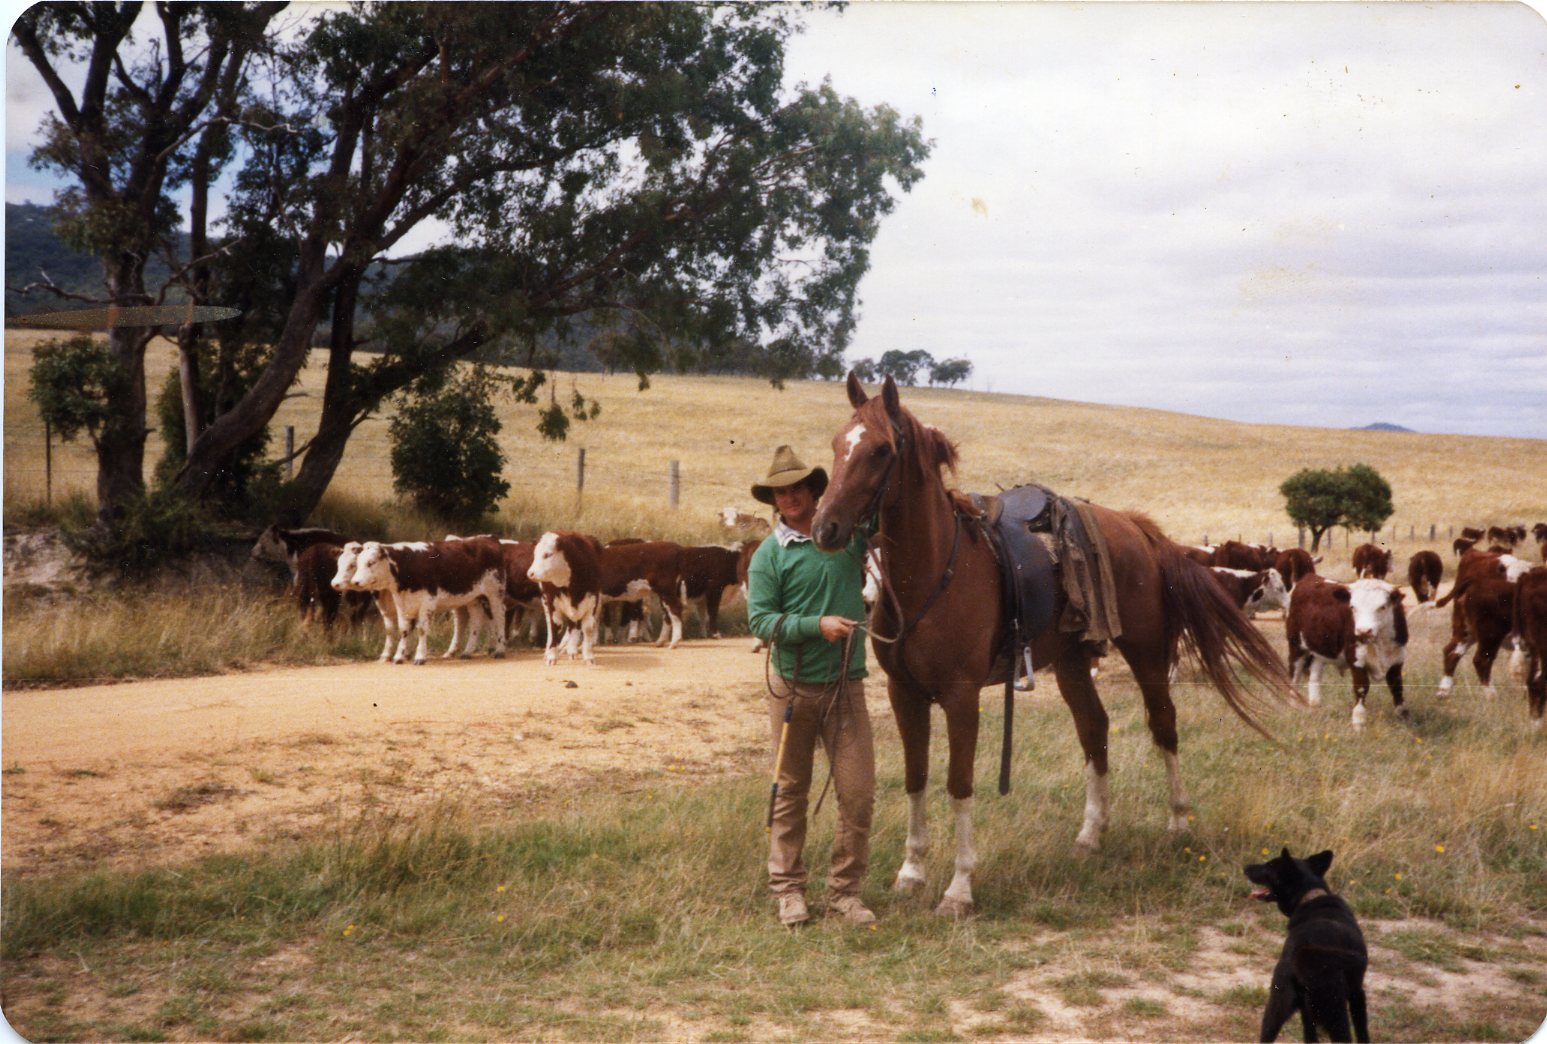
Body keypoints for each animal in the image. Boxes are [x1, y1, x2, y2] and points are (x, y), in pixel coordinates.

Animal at [339, 538, 507, 665]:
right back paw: (467, 652)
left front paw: (419, 657)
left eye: (371, 562)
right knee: (475, 622)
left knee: (499, 618)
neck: (408, 565)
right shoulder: (401, 604)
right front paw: (399, 657)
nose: (355, 582)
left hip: (495, 594)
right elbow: (403, 629)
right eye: (357, 563)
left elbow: (421, 629)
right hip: (474, 598)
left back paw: (500, 650)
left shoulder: (427, 602)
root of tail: (489, 539)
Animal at [812, 373, 1300, 916]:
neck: (934, 573)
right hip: (1070, 663)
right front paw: (911, 872)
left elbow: (958, 784)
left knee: (1163, 724)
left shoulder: (961, 697)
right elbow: (915, 777)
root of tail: (1138, 529)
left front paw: (959, 888)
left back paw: (1178, 820)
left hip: (1148, 653)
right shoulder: (905, 694)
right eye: (837, 444)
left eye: (879, 450)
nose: (824, 527)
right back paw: (1091, 834)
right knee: (1095, 728)